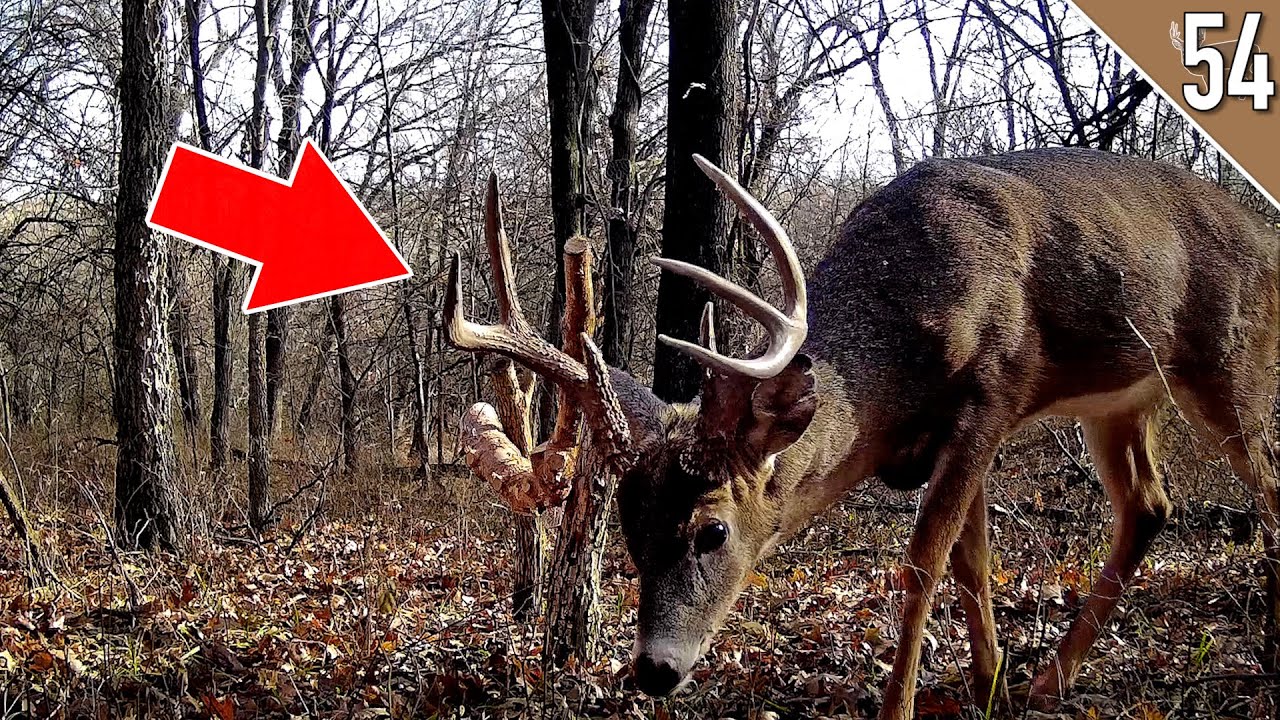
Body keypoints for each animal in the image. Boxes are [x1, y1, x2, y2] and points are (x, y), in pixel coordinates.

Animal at [445, 148, 1280, 719]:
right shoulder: (952, 438)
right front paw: (990, 685)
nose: (653, 671)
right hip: (1121, 404)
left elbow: (923, 562)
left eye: (712, 531)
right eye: (628, 528)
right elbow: (973, 562)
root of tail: (1267, 236)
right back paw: (1051, 681)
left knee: (1266, 489)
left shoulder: (995, 394)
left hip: (1232, 371)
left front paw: (901, 706)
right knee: (1151, 505)